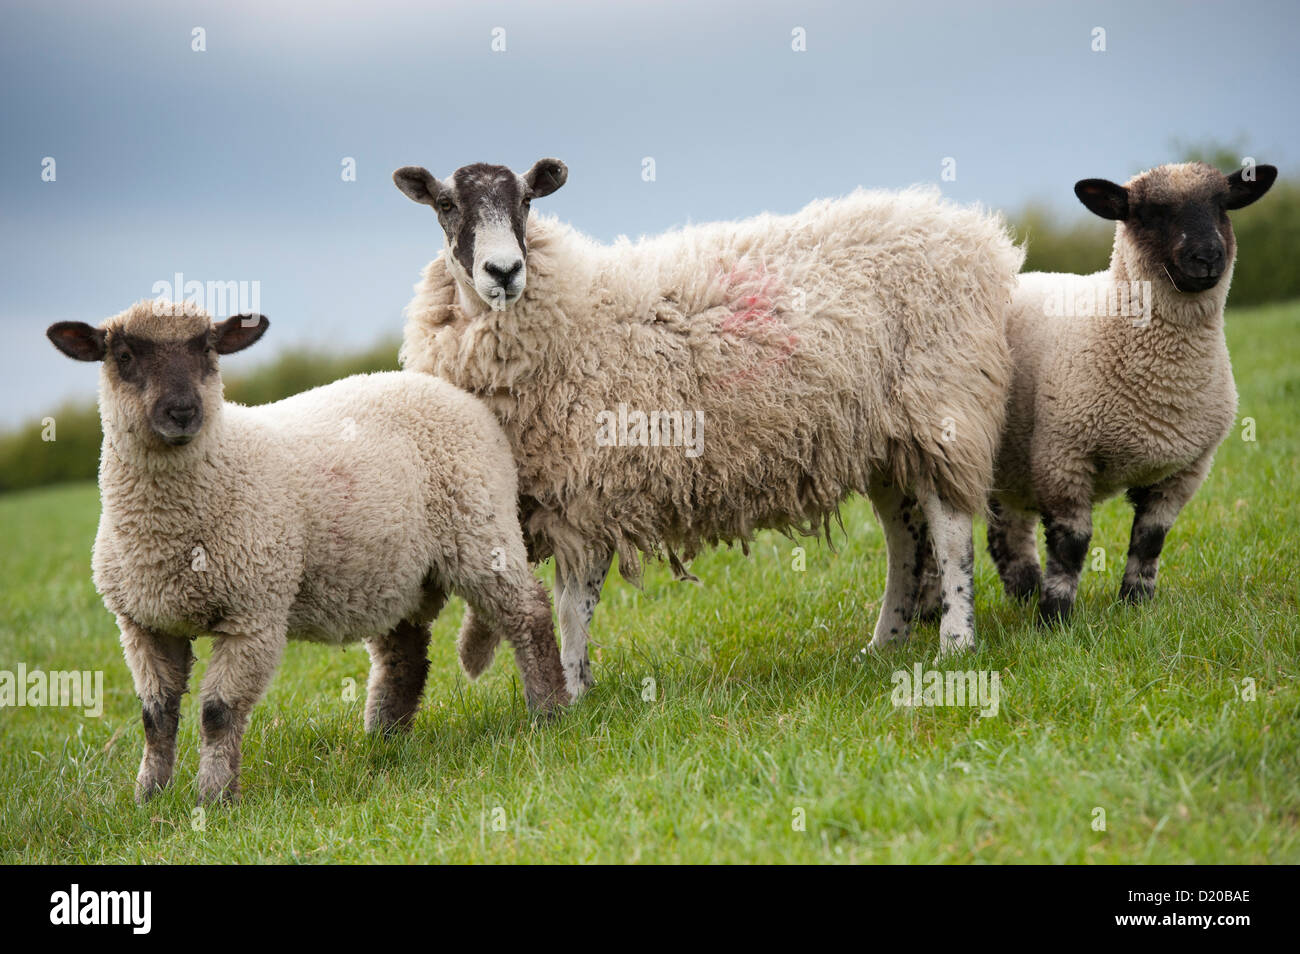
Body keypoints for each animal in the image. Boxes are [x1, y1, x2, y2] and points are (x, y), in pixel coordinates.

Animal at [46, 299, 568, 804]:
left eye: (207, 349)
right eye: (123, 355)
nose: (182, 412)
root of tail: (452, 391)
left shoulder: (253, 615)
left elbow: (218, 713)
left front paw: (213, 799)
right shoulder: (143, 624)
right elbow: (156, 717)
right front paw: (149, 798)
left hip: (481, 532)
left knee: (528, 614)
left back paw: (550, 712)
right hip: (395, 572)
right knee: (405, 658)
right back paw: (384, 742)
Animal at [393, 159, 1024, 695]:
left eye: (526, 199)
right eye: (446, 204)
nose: (504, 270)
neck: (568, 311)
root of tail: (977, 235)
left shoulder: (587, 492)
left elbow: (573, 605)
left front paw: (573, 692)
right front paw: (577, 688)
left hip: (941, 407)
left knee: (950, 533)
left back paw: (956, 643)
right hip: (883, 436)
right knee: (905, 536)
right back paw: (886, 643)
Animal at [973, 161, 1277, 623]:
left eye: (1222, 205)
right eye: (1149, 212)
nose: (1208, 257)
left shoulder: (1185, 470)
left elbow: (1150, 540)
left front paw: (1136, 604)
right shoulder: (1063, 457)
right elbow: (1071, 544)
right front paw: (1055, 618)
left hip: (1013, 463)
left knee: (1007, 526)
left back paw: (1024, 590)